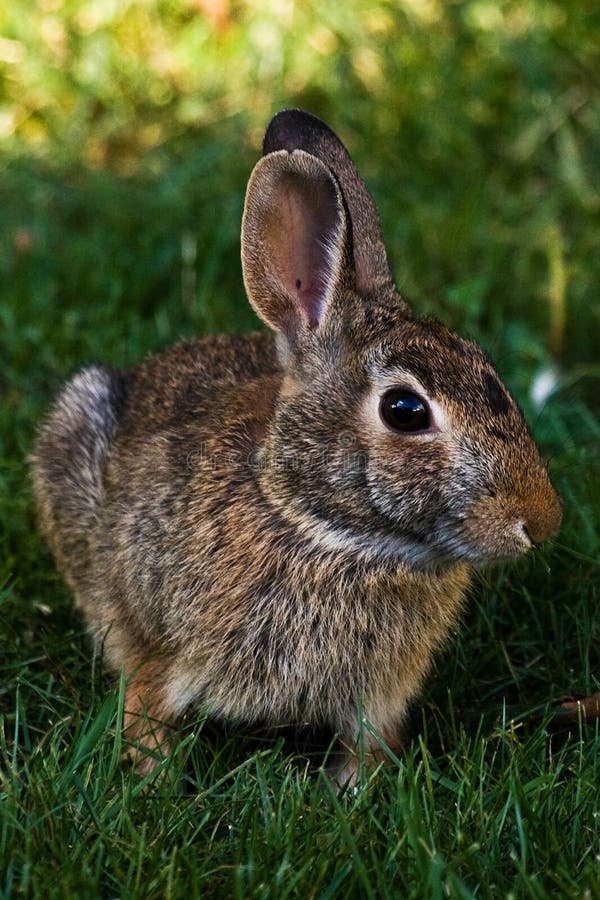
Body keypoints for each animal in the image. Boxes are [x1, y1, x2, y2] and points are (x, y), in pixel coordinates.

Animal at [31, 109, 562, 783]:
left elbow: (369, 740)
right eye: (406, 411)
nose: (541, 522)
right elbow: (145, 711)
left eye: (485, 368)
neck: (320, 530)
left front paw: (355, 790)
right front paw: (153, 781)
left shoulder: (379, 694)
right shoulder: (153, 641)